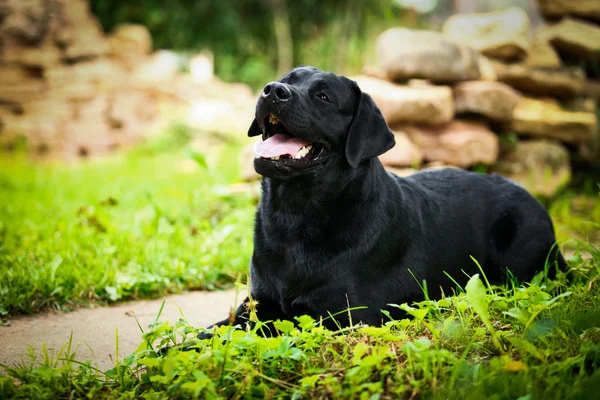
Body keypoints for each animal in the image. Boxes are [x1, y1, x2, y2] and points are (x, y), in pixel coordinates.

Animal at [206, 65, 564, 332]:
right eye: (286, 80)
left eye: (323, 96)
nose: (272, 90)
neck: (295, 217)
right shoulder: (255, 304)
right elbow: (214, 331)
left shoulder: (342, 317)